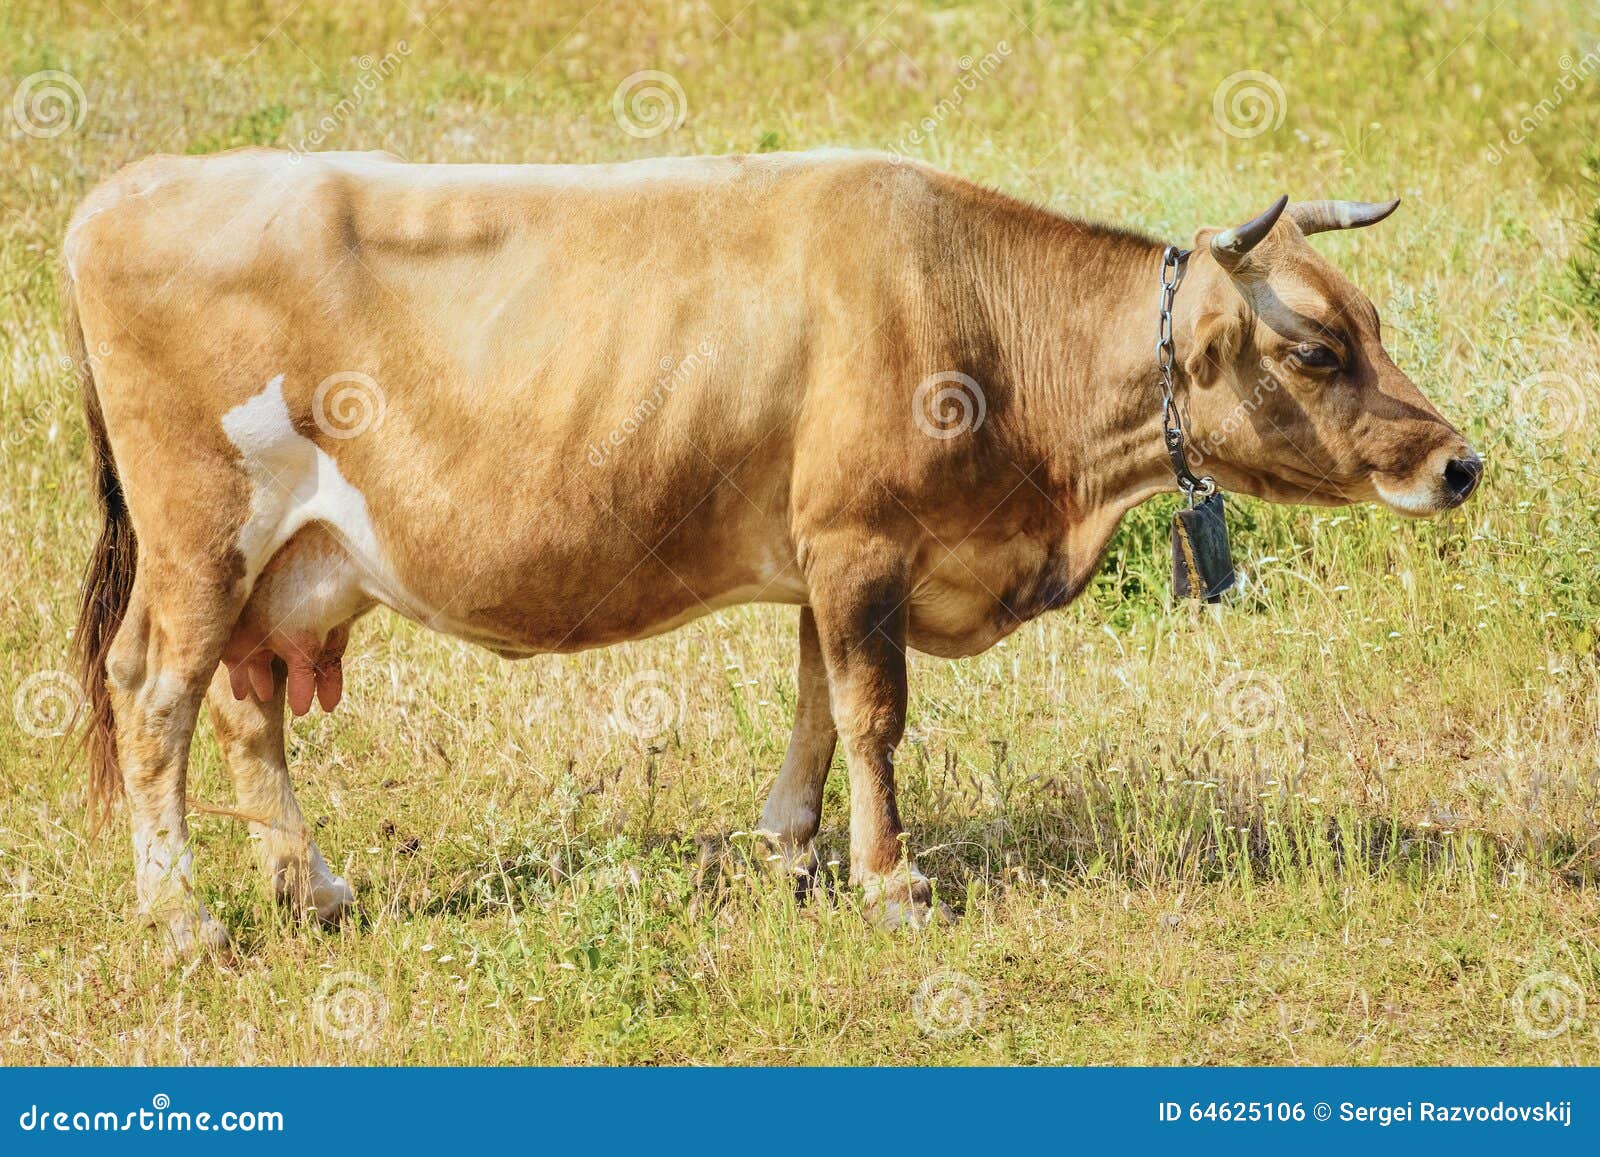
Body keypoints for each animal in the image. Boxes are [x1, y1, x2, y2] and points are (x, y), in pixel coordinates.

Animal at [63, 148, 1480, 955]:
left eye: (1371, 318)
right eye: (1315, 348)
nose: (1456, 461)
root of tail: (117, 194)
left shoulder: (832, 553)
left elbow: (813, 700)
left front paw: (795, 850)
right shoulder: (861, 539)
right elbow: (873, 711)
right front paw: (891, 880)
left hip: (282, 563)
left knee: (247, 704)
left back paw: (313, 888)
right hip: (200, 534)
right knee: (155, 694)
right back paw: (183, 918)